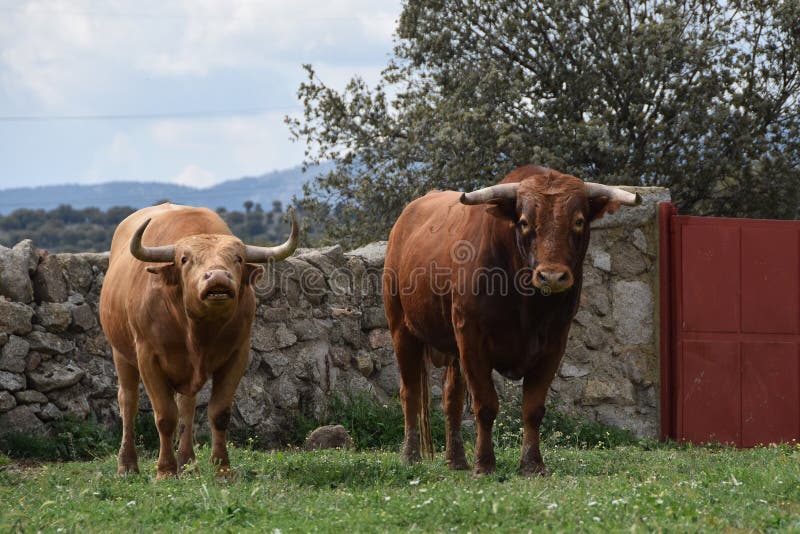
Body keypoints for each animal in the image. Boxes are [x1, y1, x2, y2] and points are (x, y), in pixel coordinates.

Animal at [99, 203, 298, 478]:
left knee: (187, 407)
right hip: (121, 354)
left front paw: (222, 468)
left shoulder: (237, 355)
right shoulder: (148, 358)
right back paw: (127, 465)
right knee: (128, 402)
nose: (217, 278)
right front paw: (165, 470)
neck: (197, 331)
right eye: (185, 259)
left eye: (237, 258)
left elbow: (219, 413)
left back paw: (188, 464)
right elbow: (164, 417)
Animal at [383, 165, 640, 475]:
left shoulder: (554, 344)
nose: (552, 276)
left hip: (451, 348)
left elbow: (533, 408)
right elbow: (485, 405)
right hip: (402, 329)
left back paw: (456, 460)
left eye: (579, 221)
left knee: (451, 398)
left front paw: (532, 464)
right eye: (525, 222)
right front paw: (484, 464)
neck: (527, 303)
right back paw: (410, 455)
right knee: (410, 393)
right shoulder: (472, 339)